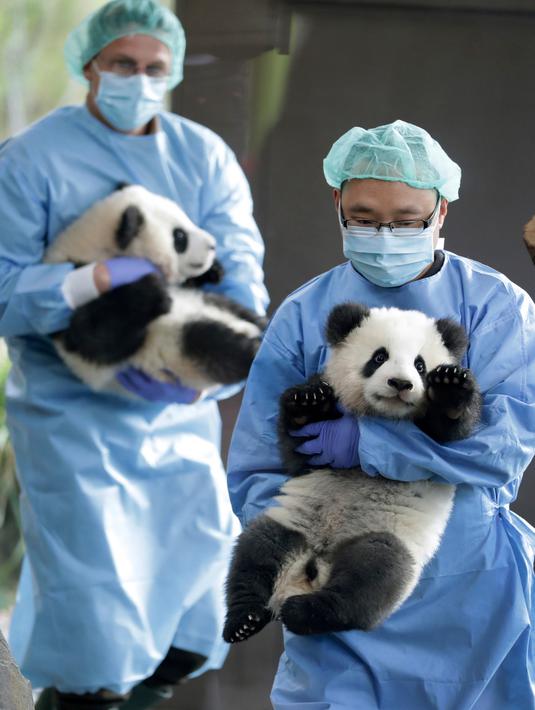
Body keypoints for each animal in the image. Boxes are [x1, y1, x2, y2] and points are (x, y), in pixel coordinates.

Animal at [44, 185, 266, 391]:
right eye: (180, 237)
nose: (213, 245)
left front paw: (214, 270)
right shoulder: (74, 296)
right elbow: (95, 336)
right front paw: (151, 289)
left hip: (209, 303)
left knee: (240, 312)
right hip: (181, 344)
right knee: (220, 347)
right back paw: (253, 348)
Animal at [223, 301, 482, 642]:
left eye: (420, 365)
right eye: (379, 357)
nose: (400, 384)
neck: (379, 417)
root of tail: (312, 570)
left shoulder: (437, 452)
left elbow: (447, 440)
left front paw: (450, 387)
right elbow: (297, 449)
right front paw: (308, 401)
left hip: (383, 536)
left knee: (370, 581)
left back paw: (306, 611)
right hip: (289, 521)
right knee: (255, 555)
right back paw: (244, 620)